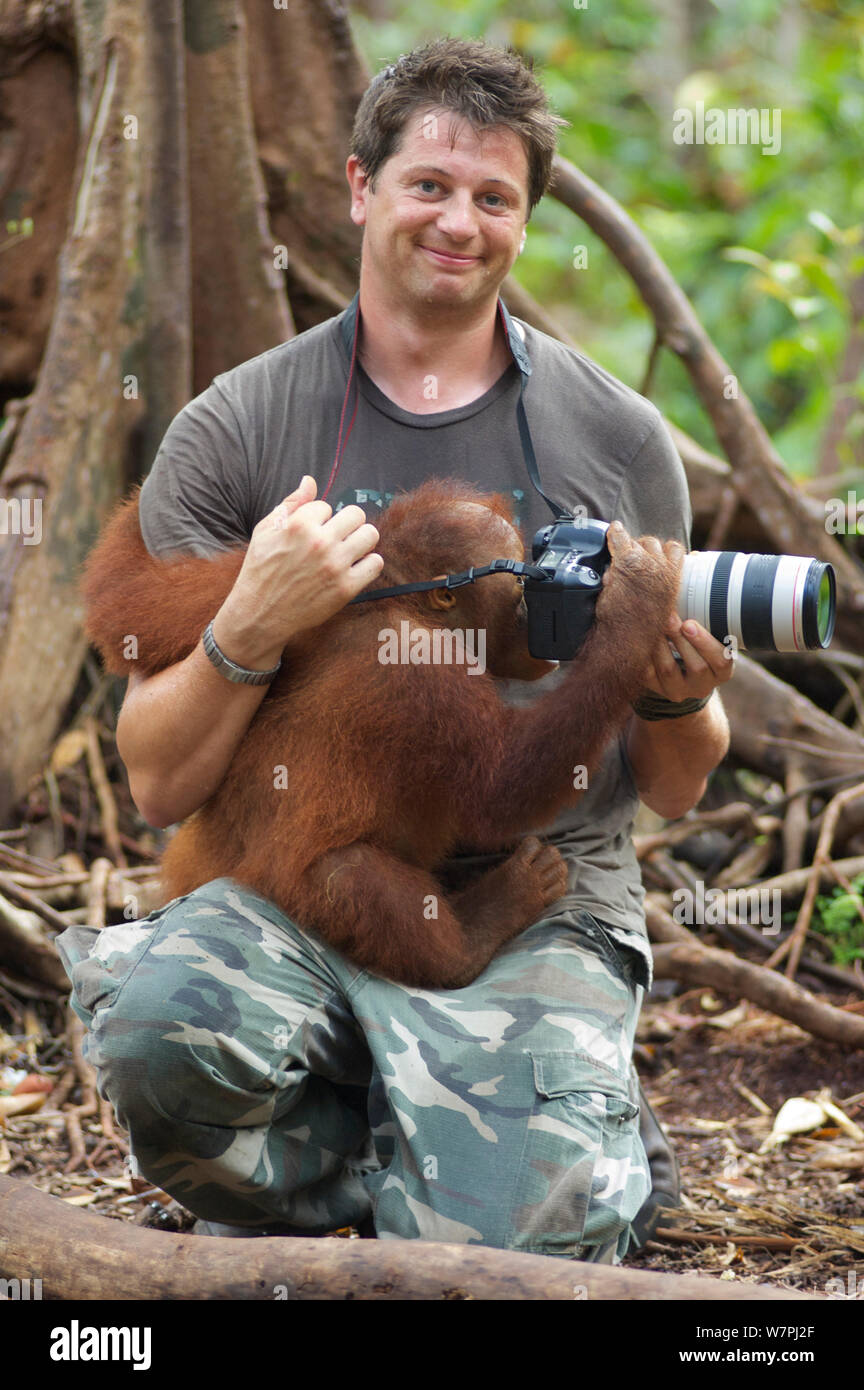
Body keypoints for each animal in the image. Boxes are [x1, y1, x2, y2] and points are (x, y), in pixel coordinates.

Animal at [82, 477, 683, 990]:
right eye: (521, 585)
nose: (528, 620)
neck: (401, 602)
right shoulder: (424, 672)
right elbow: (499, 792)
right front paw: (640, 599)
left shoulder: (302, 598)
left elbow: (143, 607)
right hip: (283, 890)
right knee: (349, 875)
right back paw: (479, 928)